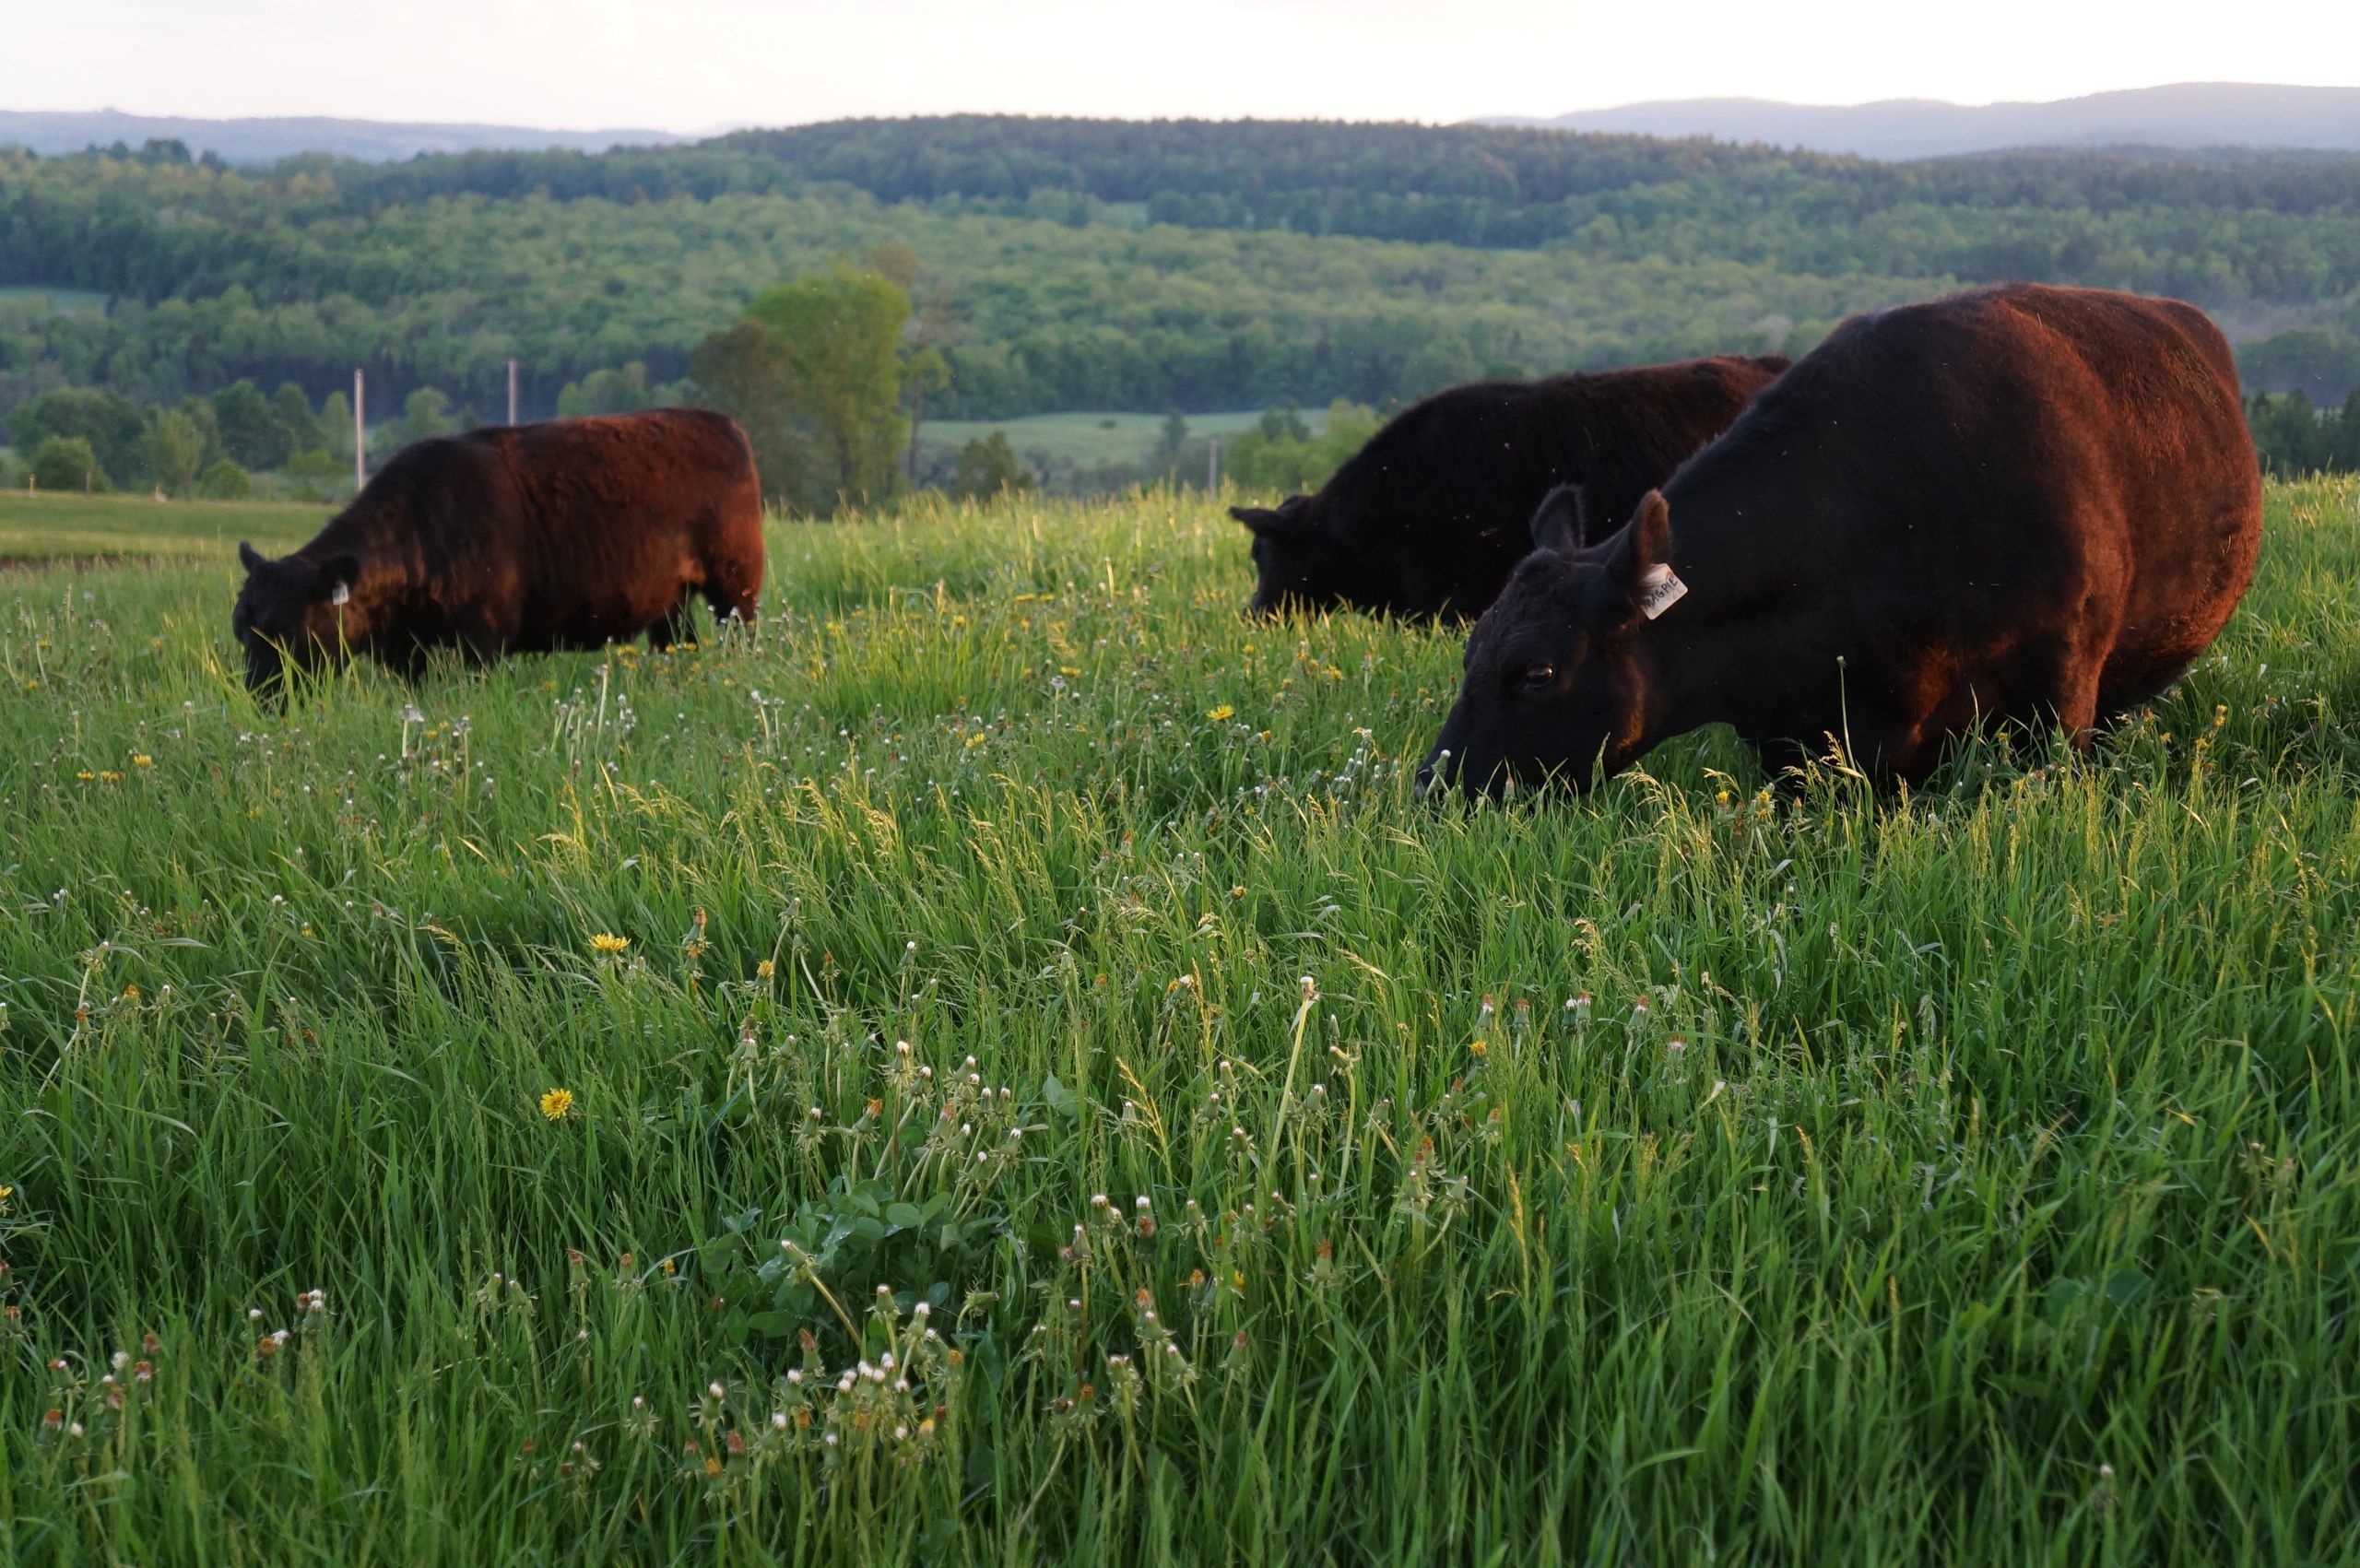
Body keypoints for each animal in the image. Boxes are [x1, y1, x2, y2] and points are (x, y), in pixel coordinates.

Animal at [232, 408, 763, 697]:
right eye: (242, 632)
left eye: (289, 632)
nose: (263, 698)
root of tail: (721, 424)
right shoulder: (404, 653)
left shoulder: (481, 641)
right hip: (671, 602)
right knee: (677, 642)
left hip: (735, 586)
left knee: (741, 637)